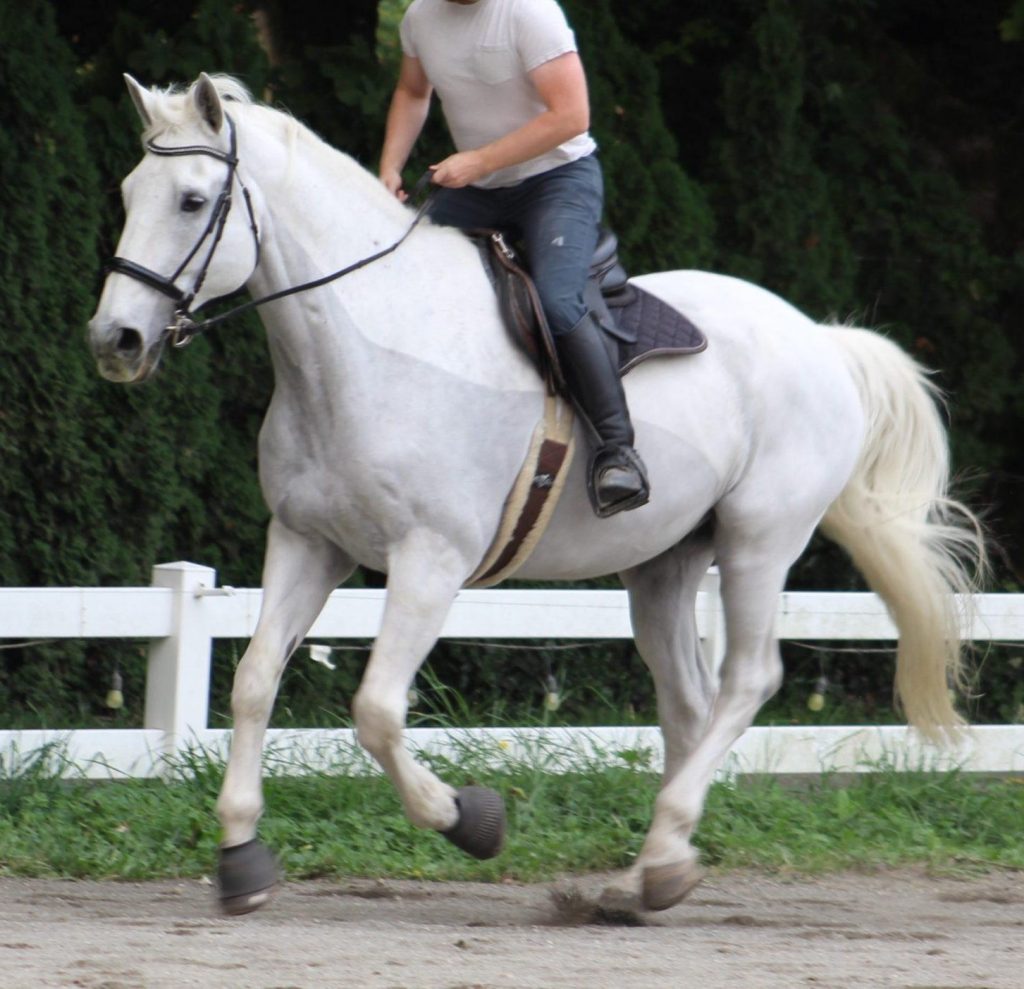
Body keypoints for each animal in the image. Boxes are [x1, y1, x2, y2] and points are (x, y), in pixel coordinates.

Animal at [88, 73, 983, 915]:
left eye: (192, 200)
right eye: (128, 193)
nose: (115, 340)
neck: (366, 344)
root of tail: (821, 340)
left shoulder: (431, 560)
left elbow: (375, 708)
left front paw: (470, 820)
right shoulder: (309, 542)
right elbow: (253, 682)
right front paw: (242, 859)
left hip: (759, 543)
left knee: (748, 681)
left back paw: (660, 854)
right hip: (664, 566)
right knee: (688, 702)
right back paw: (652, 873)